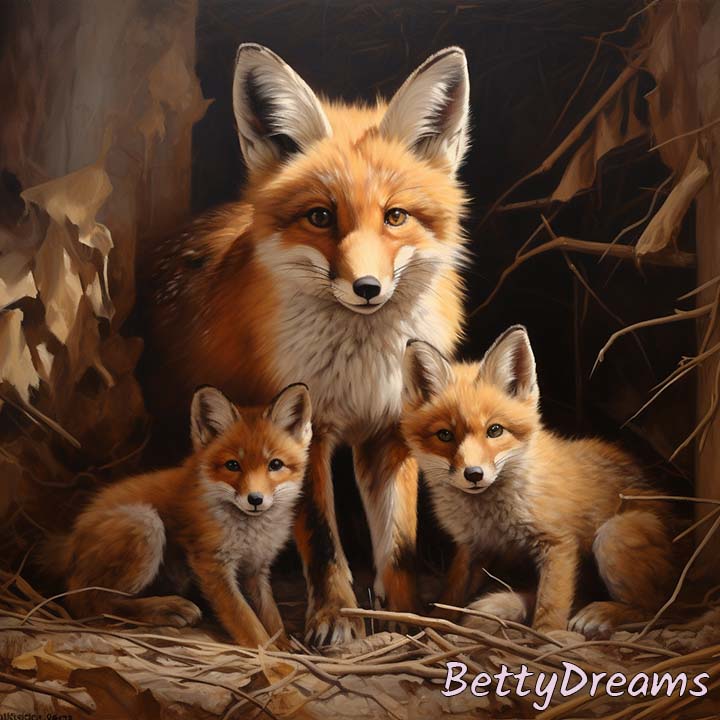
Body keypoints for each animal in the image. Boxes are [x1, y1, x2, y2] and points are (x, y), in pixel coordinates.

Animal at [44, 383, 312, 648]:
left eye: (275, 465)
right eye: (232, 465)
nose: (255, 499)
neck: (252, 531)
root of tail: (70, 541)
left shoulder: (256, 569)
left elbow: (272, 618)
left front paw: (284, 648)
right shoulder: (212, 564)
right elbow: (247, 622)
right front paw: (269, 654)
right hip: (145, 523)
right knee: (88, 603)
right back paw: (165, 608)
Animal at [146, 44, 471, 644]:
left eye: (395, 216)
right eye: (320, 216)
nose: (367, 288)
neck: (363, 365)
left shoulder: (391, 433)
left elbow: (400, 545)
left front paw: (407, 620)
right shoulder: (303, 435)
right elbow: (321, 538)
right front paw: (337, 618)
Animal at [400, 325, 680, 638]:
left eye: (494, 430)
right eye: (445, 435)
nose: (473, 474)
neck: (490, 515)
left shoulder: (558, 545)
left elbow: (551, 604)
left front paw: (548, 638)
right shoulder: (472, 545)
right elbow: (452, 592)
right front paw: (435, 622)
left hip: (614, 535)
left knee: (660, 609)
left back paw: (604, 613)